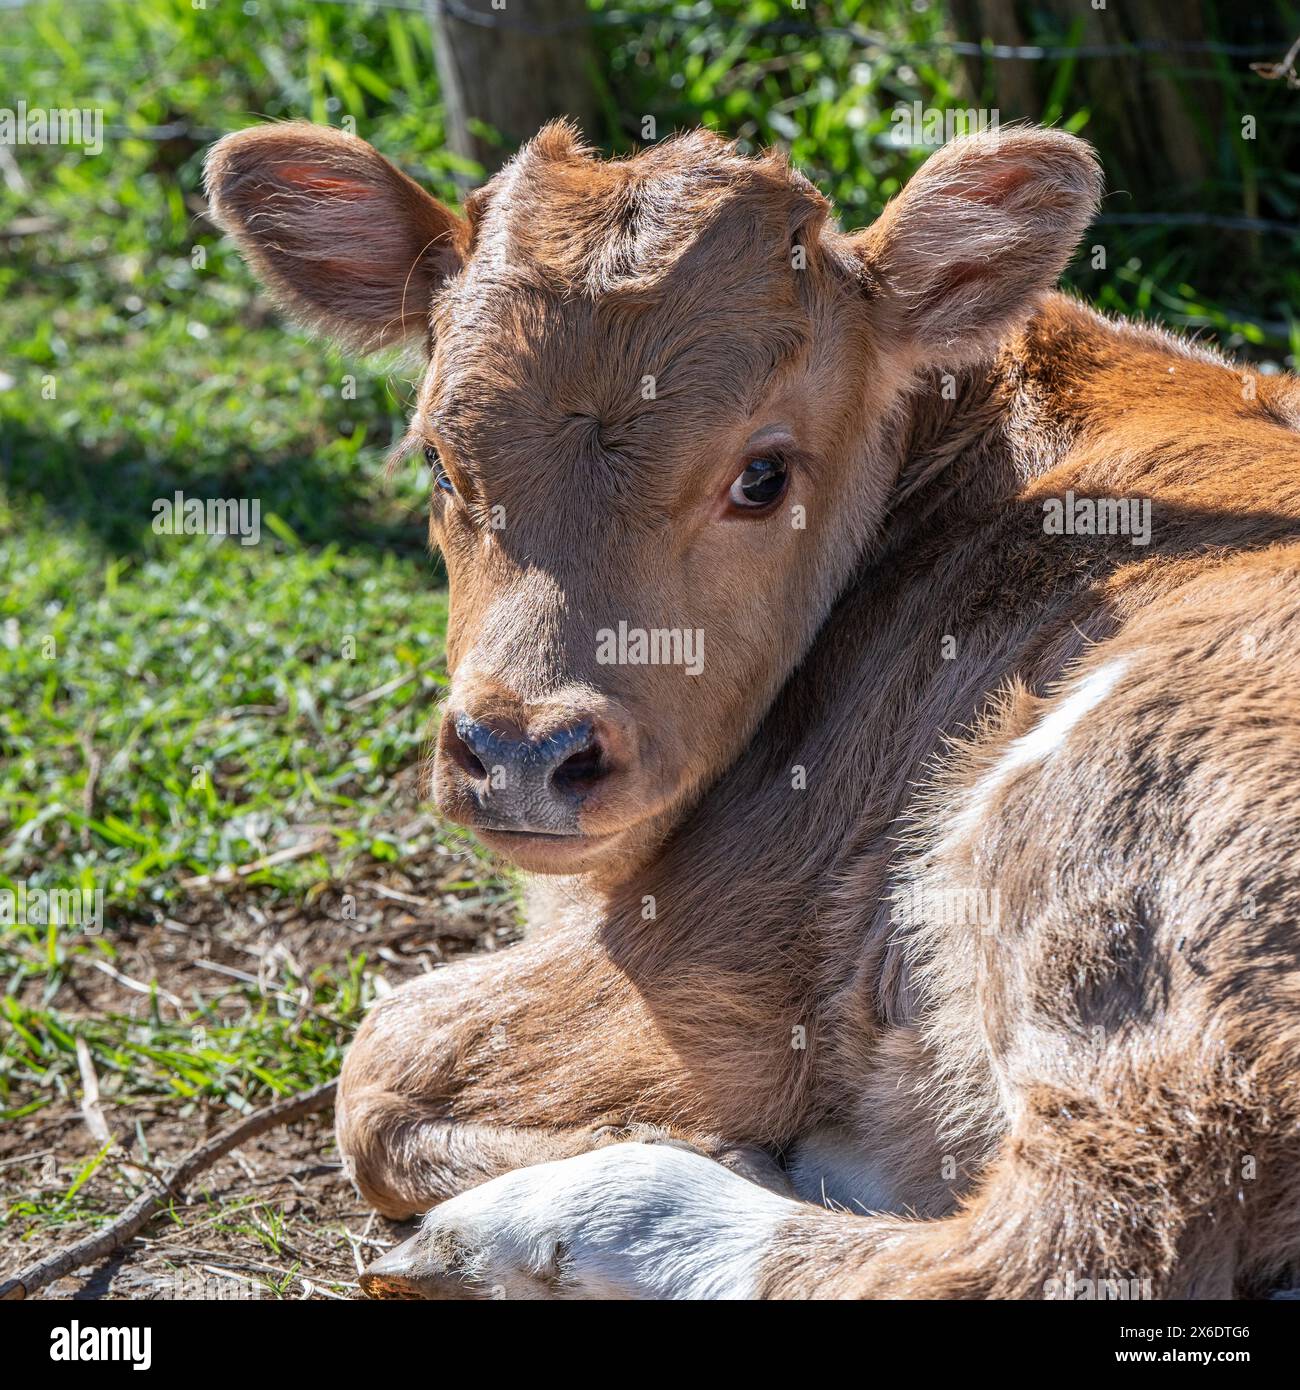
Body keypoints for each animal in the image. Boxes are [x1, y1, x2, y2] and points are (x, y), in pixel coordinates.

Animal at [204, 119, 1300, 1299]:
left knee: (1058, 1241)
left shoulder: (737, 952)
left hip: (1106, 847)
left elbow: (381, 1060)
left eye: (764, 476)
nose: (519, 753)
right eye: (443, 463)